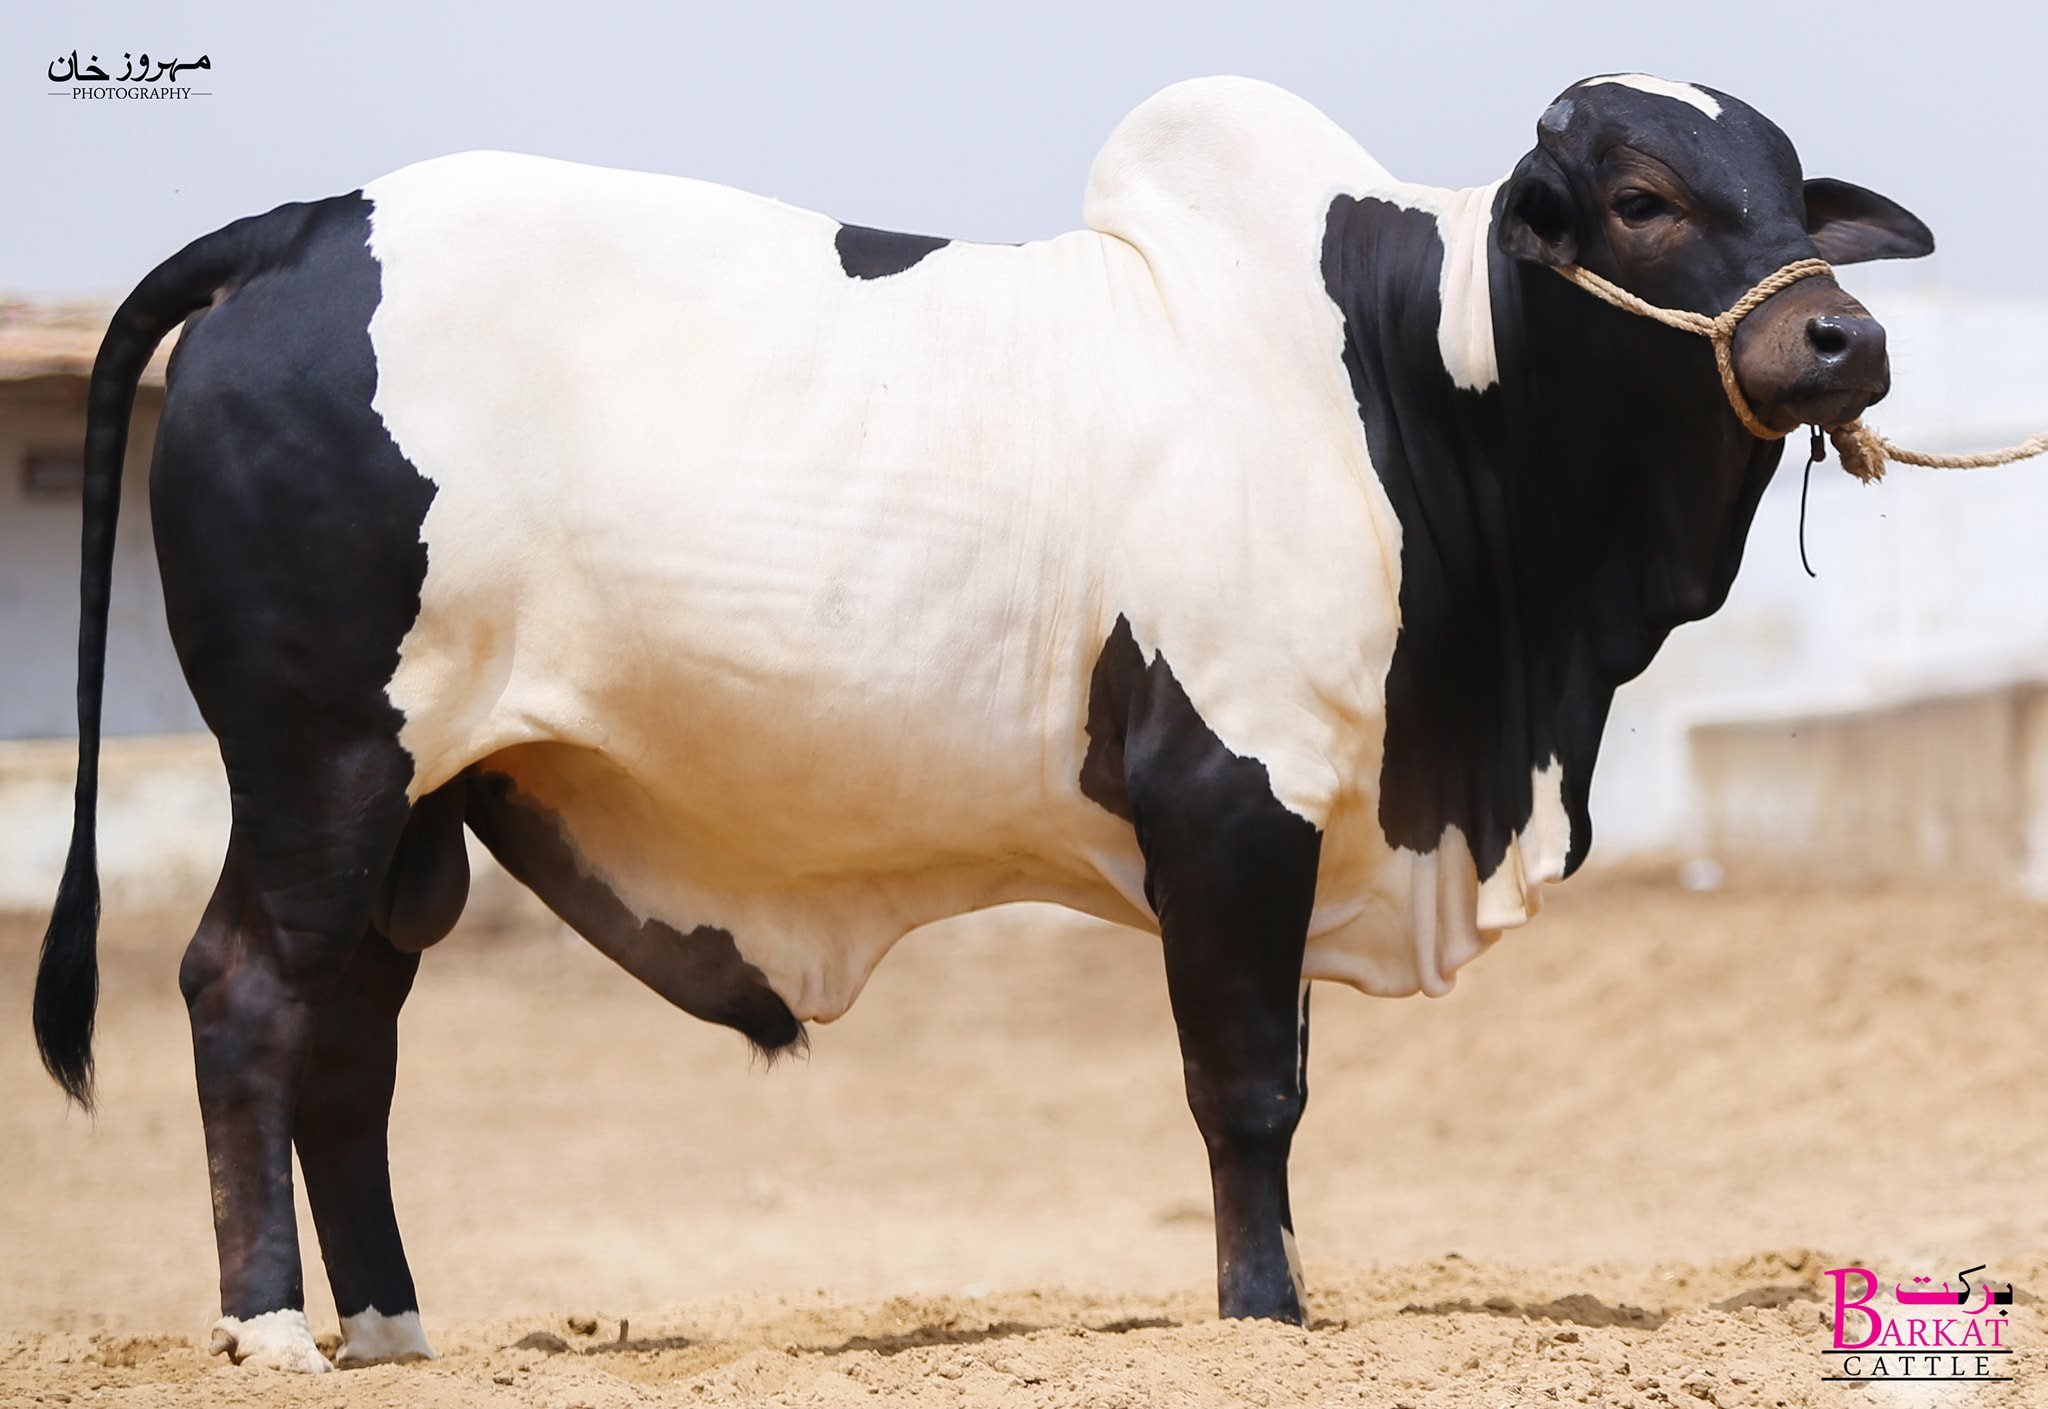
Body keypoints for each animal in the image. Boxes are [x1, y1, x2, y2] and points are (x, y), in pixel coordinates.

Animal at [32, 73, 1932, 1371]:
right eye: (1641, 194)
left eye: (1794, 199)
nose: (1839, 340)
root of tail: (300, 226)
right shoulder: (1227, 799)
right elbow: (1247, 1092)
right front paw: (1264, 1313)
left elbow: (1280, 1085)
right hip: (323, 759)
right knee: (244, 990)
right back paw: (271, 1323)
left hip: (422, 799)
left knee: (349, 1036)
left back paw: (393, 1322)